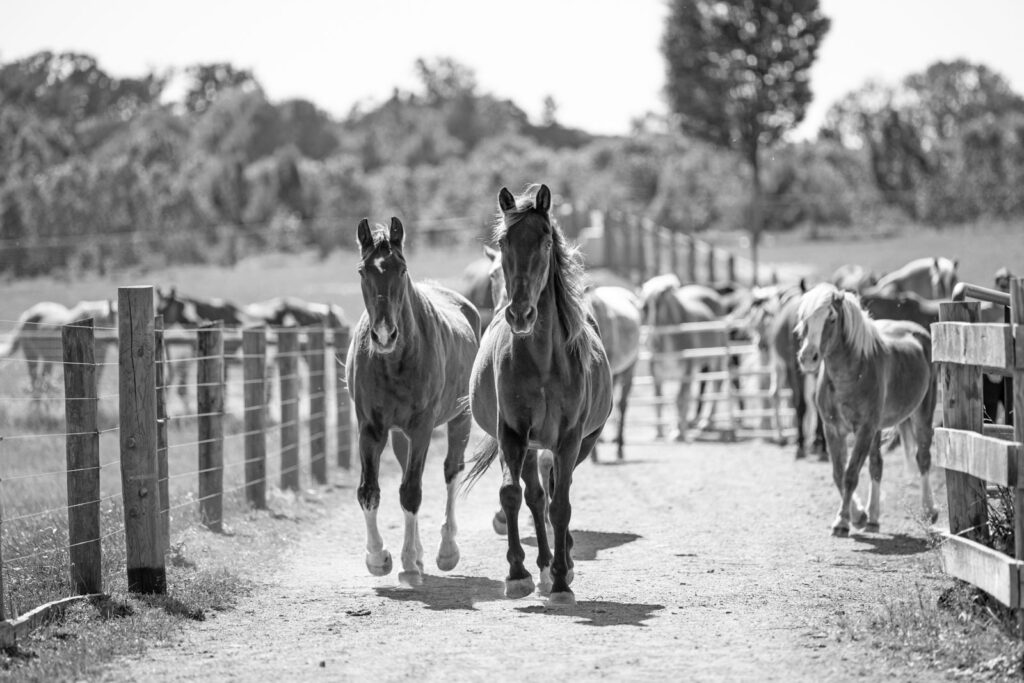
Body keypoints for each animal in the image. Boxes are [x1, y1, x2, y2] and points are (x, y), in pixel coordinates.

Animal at [347, 216, 480, 586]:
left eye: (402, 269)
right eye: (363, 270)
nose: (383, 334)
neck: (393, 361)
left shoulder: (422, 428)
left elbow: (411, 492)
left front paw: (406, 564)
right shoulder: (371, 429)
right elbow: (369, 491)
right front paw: (378, 557)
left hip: (459, 420)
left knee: (451, 472)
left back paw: (445, 551)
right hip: (399, 435)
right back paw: (419, 554)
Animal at [464, 184, 612, 607]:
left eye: (546, 242)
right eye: (504, 241)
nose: (520, 315)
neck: (544, 360)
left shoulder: (569, 438)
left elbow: (560, 505)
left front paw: (562, 581)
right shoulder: (513, 435)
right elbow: (513, 495)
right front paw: (518, 574)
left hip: (580, 444)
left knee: (554, 494)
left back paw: (560, 564)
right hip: (530, 446)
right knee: (535, 495)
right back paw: (544, 565)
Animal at [639, 274, 727, 441]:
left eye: (660, 305)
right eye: (643, 307)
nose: (650, 342)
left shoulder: (685, 372)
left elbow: (679, 400)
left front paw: (678, 433)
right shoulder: (657, 375)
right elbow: (660, 399)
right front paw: (660, 432)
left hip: (715, 358)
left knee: (716, 385)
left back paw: (707, 422)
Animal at [795, 283, 938, 536]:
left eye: (831, 318)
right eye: (805, 319)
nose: (808, 357)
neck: (851, 374)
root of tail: (918, 331)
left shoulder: (864, 429)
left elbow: (850, 475)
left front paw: (843, 521)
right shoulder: (833, 429)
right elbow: (838, 474)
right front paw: (858, 516)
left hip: (922, 414)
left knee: (923, 458)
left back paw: (929, 510)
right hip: (877, 429)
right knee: (876, 466)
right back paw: (873, 518)